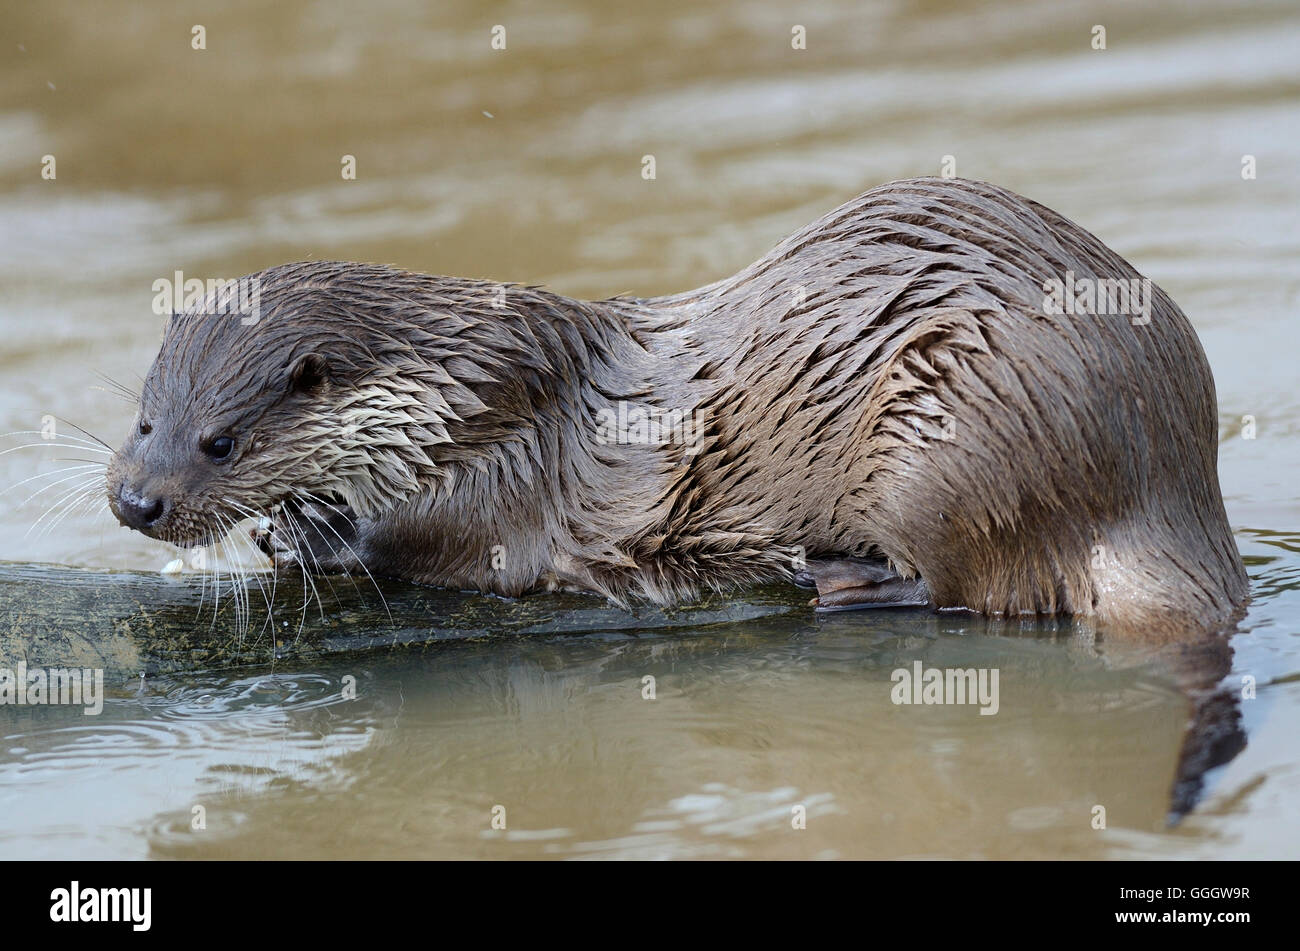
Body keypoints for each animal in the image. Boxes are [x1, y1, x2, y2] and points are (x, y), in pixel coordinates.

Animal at [105, 177, 1248, 635]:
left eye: (219, 441)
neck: (466, 397)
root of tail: (1169, 476)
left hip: (960, 426)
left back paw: (844, 579)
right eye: (144, 419)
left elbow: (439, 548)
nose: (134, 501)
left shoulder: (506, 475)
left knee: (970, 581)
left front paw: (310, 535)